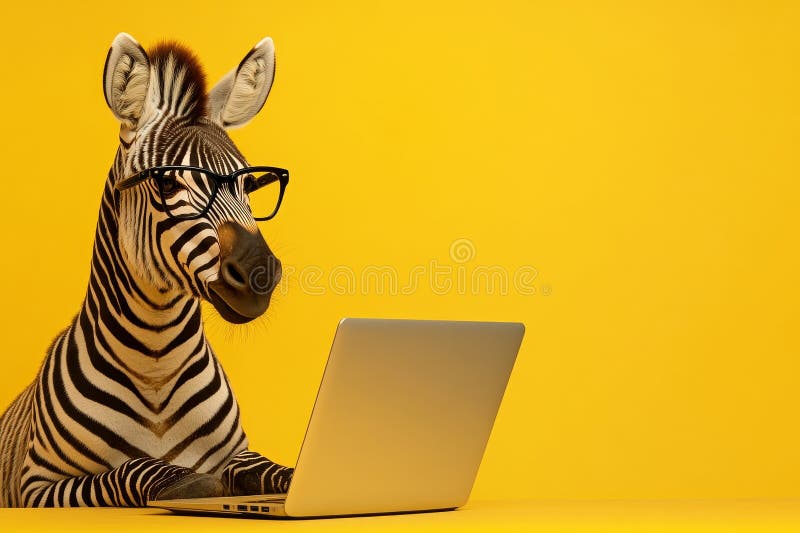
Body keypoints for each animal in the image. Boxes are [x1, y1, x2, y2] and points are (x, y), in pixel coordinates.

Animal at [0, 33, 295, 507]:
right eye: (167, 183)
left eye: (250, 185)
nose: (259, 273)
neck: (157, 362)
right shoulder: (38, 487)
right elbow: (131, 467)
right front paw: (188, 481)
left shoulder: (240, 453)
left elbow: (270, 469)